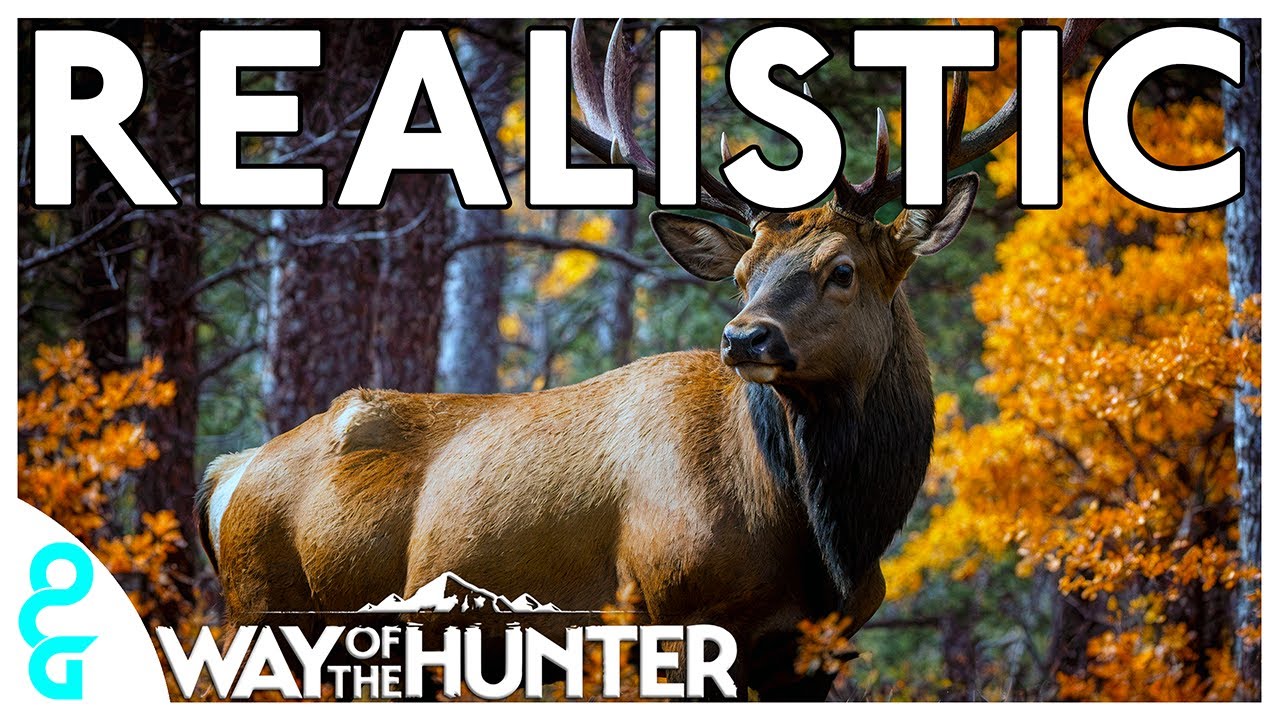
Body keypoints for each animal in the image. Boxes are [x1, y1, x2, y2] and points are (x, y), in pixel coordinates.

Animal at [196, 19, 1100, 700]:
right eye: (741, 272)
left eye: (841, 269)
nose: (745, 338)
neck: (825, 539)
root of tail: (229, 474)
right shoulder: (660, 616)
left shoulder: (813, 655)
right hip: (263, 617)